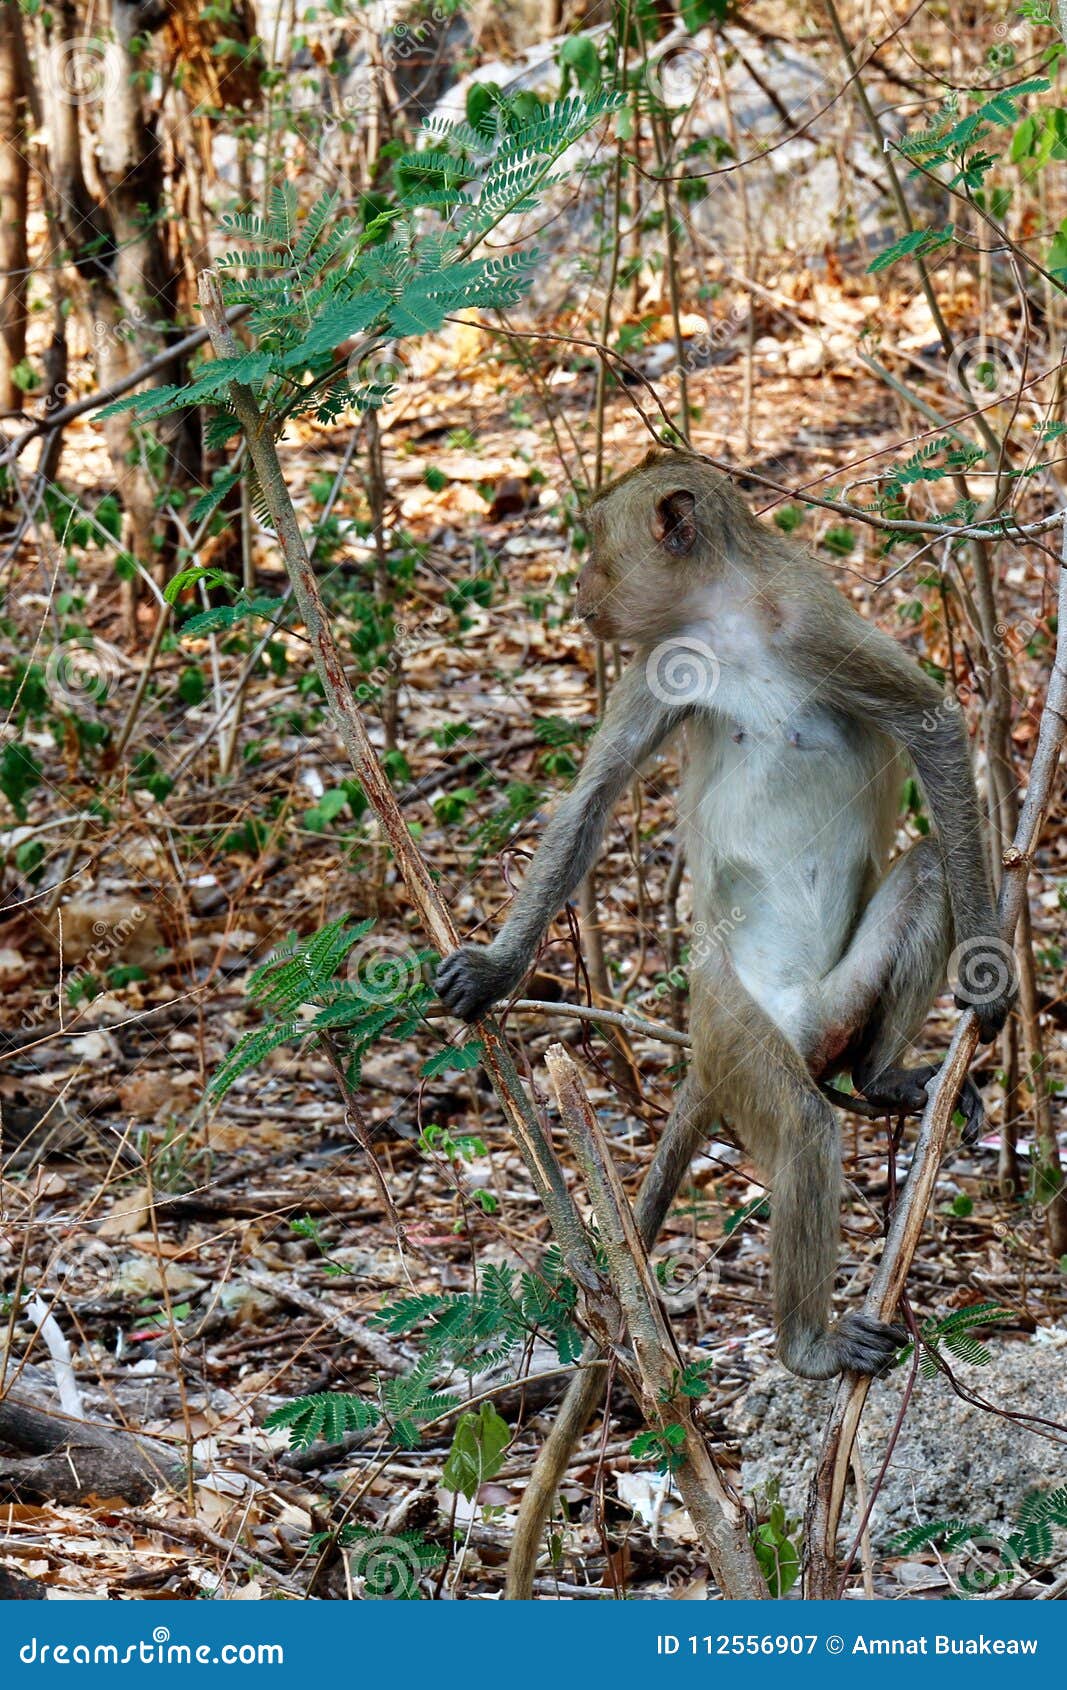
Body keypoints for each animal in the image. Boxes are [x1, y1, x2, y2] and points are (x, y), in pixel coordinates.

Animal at [436, 445, 1014, 1382]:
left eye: (594, 538)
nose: (579, 584)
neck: (727, 619)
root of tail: (799, 1022)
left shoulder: (809, 621)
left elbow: (928, 722)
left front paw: (986, 967)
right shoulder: (658, 656)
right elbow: (592, 801)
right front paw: (495, 968)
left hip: (829, 999)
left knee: (926, 872)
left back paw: (875, 1078)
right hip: (728, 1023)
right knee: (801, 1123)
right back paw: (808, 1344)